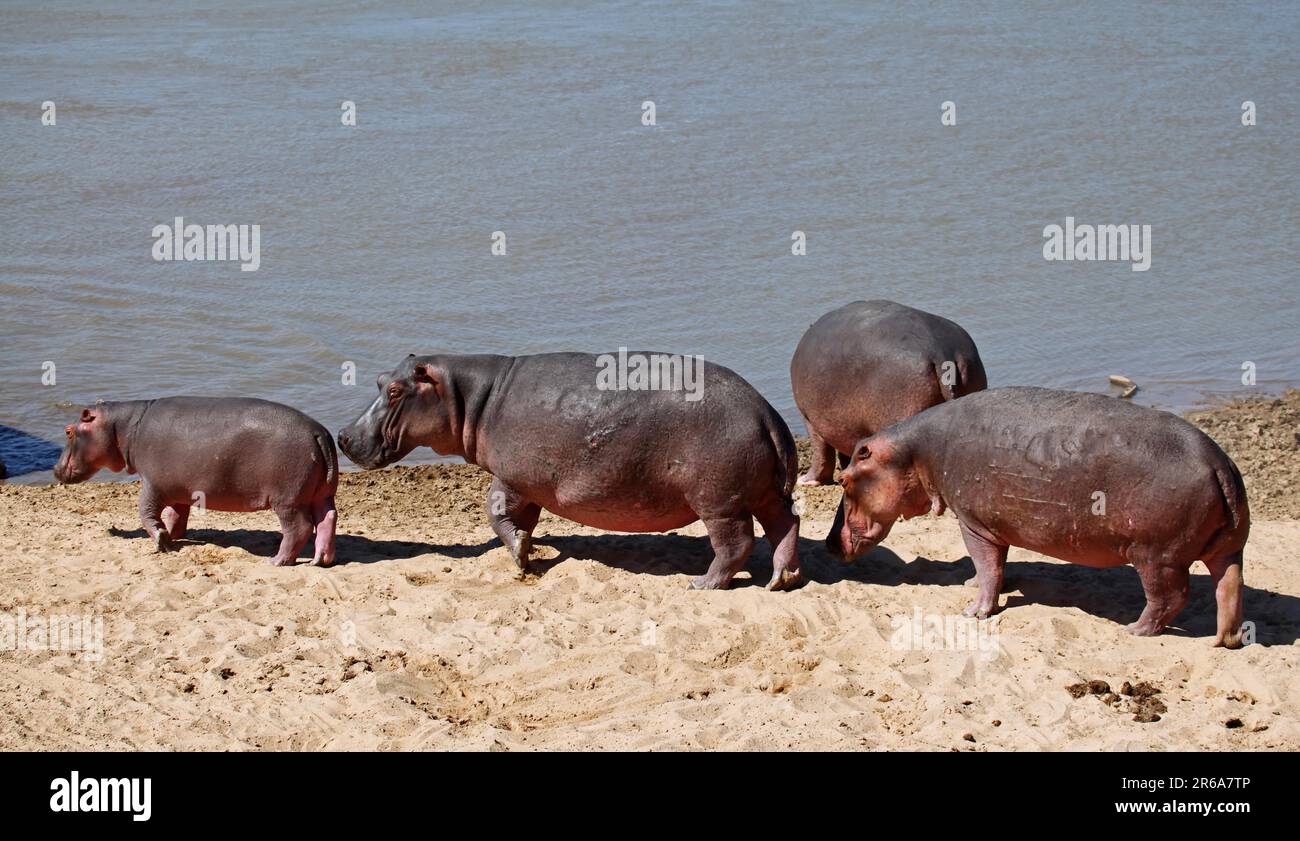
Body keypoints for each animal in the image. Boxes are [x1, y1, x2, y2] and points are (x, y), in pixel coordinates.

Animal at [54, 397, 338, 566]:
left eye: (68, 431)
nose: (56, 470)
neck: (121, 427)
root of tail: (319, 432)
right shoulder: (177, 489)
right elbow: (176, 515)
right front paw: (172, 536)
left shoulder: (151, 482)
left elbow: (146, 512)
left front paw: (161, 541)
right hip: (321, 494)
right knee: (328, 519)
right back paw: (321, 560)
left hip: (287, 501)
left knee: (299, 528)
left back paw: (276, 561)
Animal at [337, 352, 801, 590]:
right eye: (379, 378)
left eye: (394, 390)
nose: (342, 436)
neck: (471, 396)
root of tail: (765, 411)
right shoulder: (528, 483)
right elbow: (516, 517)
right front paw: (525, 550)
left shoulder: (515, 476)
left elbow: (494, 509)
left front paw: (521, 554)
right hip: (762, 494)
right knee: (786, 524)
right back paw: (782, 579)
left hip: (719, 502)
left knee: (736, 543)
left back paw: (702, 584)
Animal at [837, 387, 1249, 647]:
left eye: (844, 480)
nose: (830, 545)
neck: (913, 452)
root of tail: (1218, 462)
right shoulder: (994, 526)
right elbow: (993, 567)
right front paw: (972, 585)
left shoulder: (973, 523)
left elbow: (986, 563)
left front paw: (974, 612)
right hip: (1226, 549)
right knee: (1229, 587)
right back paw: (1225, 641)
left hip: (1155, 556)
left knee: (1171, 597)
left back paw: (1135, 630)